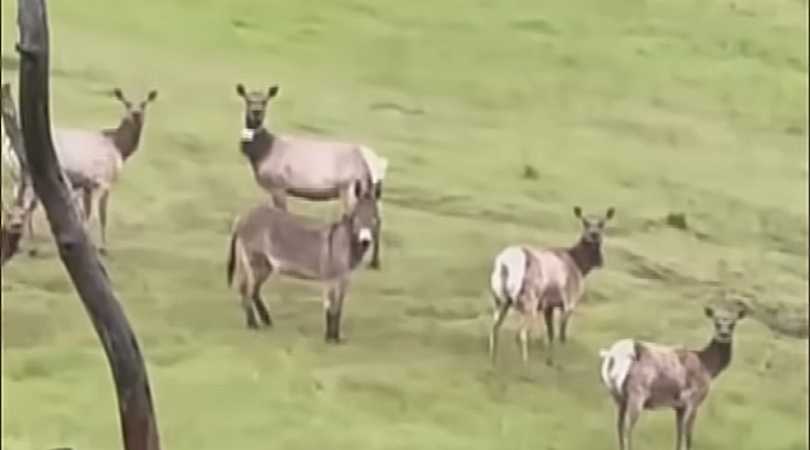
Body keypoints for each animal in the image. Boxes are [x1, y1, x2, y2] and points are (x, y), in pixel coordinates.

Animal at [226, 181, 379, 342]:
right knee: (248, 290)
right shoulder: (330, 277)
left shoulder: (345, 279)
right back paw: (253, 324)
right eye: (356, 218)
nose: (365, 241)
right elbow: (330, 306)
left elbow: (339, 307)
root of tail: (242, 218)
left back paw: (265, 321)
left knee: (252, 290)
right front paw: (329, 337)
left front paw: (336, 337)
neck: (345, 242)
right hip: (256, 262)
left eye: (374, 218)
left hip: (262, 265)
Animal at [235, 83, 388, 269]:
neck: (262, 153)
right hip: (367, 189)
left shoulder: (279, 185)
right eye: (248, 99)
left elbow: (282, 212)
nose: (256, 112)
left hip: (350, 187)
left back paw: (373, 261)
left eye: (265, 100)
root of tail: (374, 164)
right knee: (375, 217)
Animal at [489, 206, 615, 366]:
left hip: (500, 300)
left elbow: (550, 334)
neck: (580, 264)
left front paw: (550, 361)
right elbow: (561, 335)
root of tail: (505, 263)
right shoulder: (568, 304)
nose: (593, 235)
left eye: (602, 224)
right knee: (521, 333)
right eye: (585, 223)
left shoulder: (548, 306)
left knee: (495, 327)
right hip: (529, 303)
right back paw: (525, 365)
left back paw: (493, 362)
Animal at [598, 305, 748, 450]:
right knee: (627, 428)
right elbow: (688, 435)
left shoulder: (679, 406)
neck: (707, 366)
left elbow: (679, 434)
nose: (724, 334)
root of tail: (613, 354)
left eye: (733, 323)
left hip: (618, 397)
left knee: (618, 426)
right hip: (637, 394)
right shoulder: (693, 401)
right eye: (716, 322)